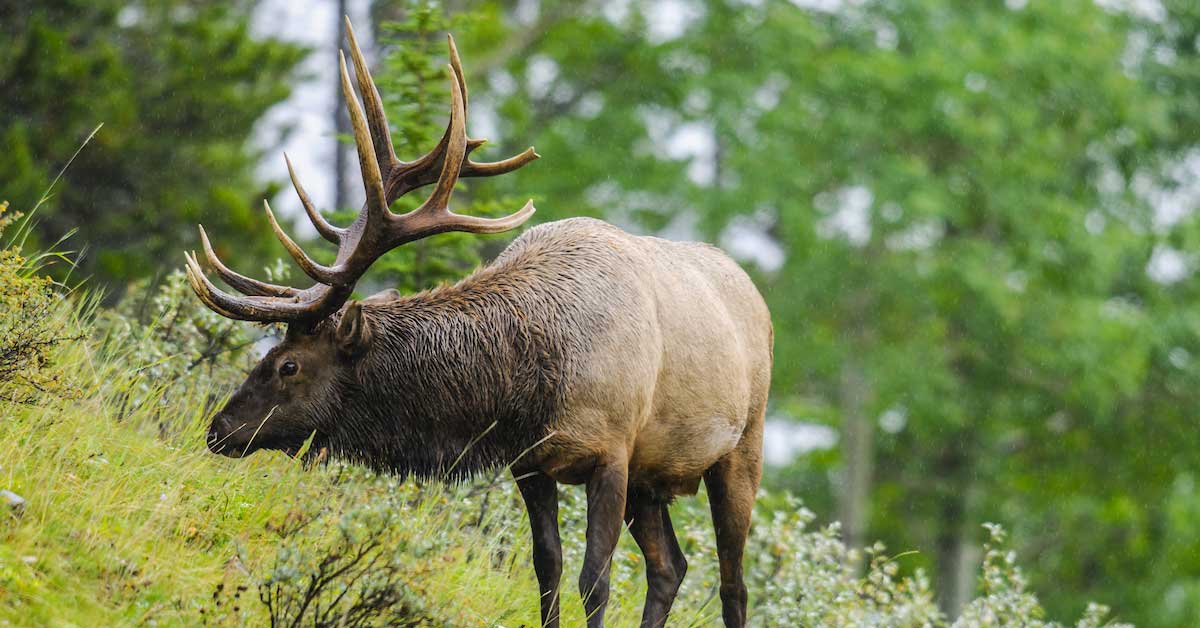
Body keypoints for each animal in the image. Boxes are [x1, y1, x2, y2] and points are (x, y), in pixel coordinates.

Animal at [185, 19, 772, 628]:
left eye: (288, 365)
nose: (219, 427)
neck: (527, 383)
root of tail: (752, 290)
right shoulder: (530, 462)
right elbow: (547, 567)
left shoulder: (612, 450)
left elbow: (595, 581)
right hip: (653, 479)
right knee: (670, 567)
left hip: (741, 447)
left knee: (732, 583)